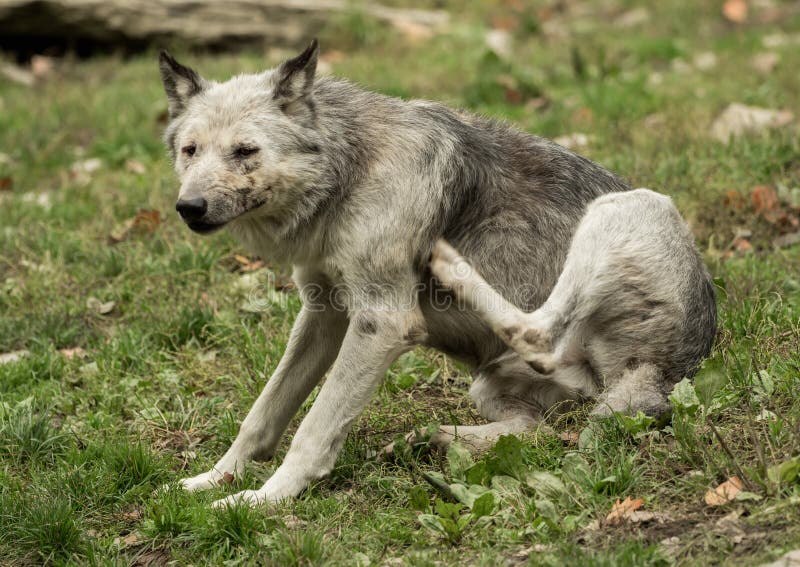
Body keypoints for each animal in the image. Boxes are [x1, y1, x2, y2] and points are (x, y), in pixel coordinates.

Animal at [158, 39, 716, 507]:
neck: (348, 172)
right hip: (490, 386)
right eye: (190, 151)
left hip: (626, 206)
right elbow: (263, 413)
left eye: (245, 151)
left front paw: (262, 499)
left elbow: (313, 430)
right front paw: (214, 479)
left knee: (538, 333)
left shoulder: (381, 324)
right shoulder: (322, 313)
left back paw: (450, 269)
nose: (188, 207)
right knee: (536, 426)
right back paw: (433, 441)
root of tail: (670, 374)